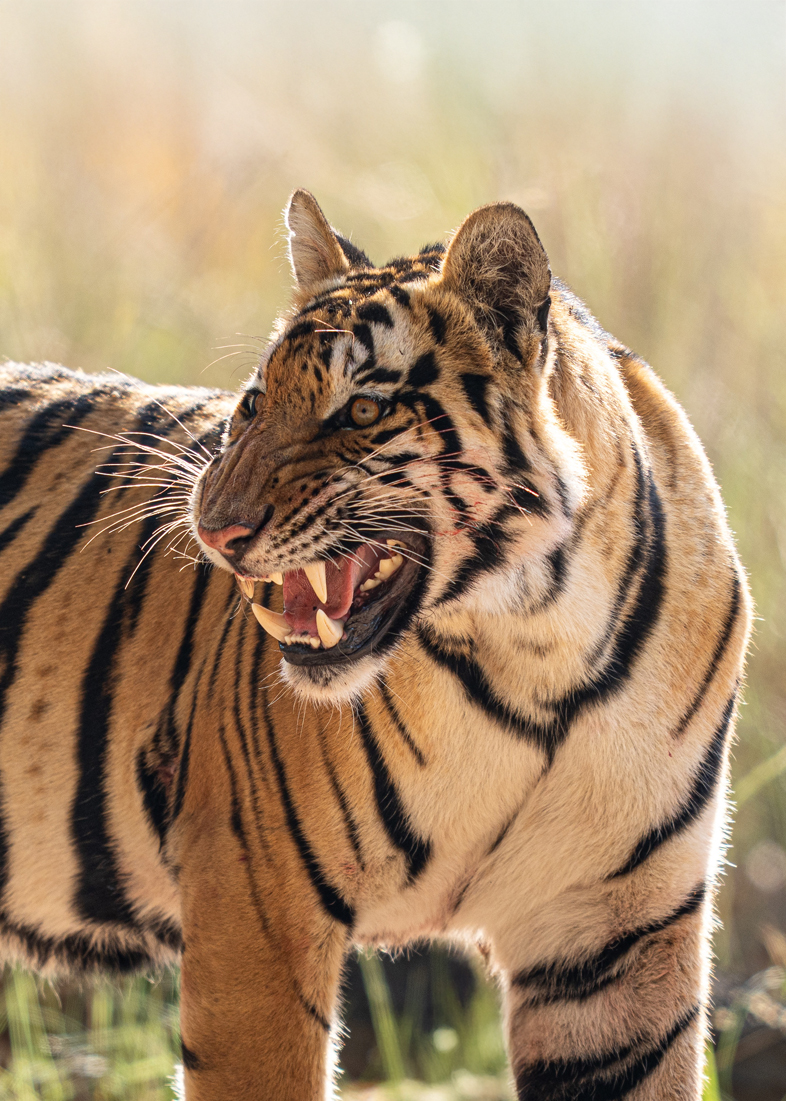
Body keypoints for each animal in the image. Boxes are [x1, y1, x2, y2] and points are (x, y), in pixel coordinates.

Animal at [0, 189, 750, 1101]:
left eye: (363, 409)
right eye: (254, 403)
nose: (212, 529)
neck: (541, 648)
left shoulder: (615, 934)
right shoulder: (256, 905)